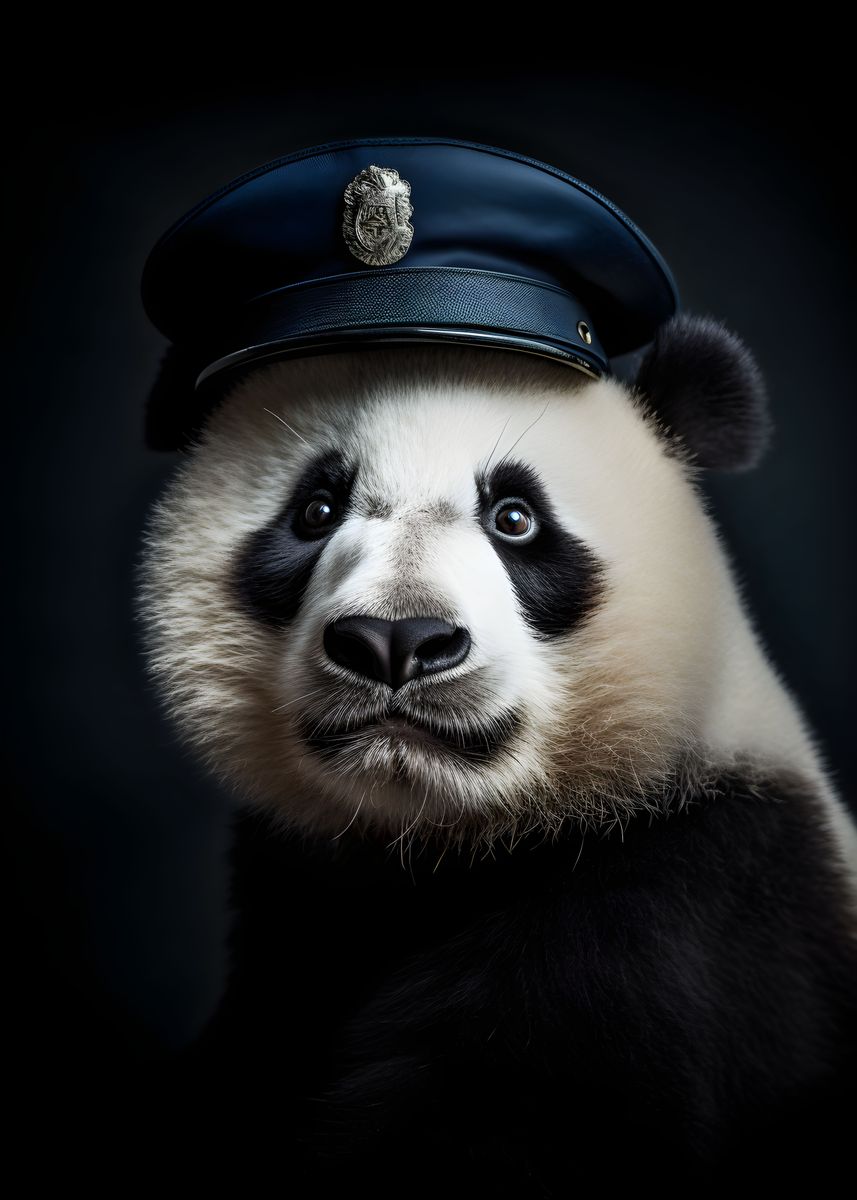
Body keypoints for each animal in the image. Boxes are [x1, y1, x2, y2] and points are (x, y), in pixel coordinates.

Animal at [134, 324, 856, 1192]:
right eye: (315, 510)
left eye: (515, 518)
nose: (395, 641)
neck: (445, 849)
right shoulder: (294, 911)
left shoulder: (692, 909)